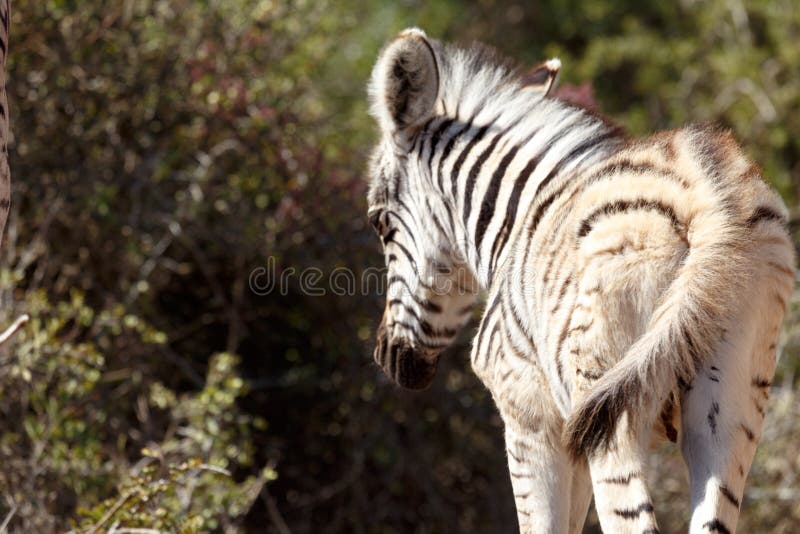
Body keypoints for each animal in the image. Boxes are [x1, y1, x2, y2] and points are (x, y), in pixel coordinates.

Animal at [366, 28, 795, 534]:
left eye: (378, 223)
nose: (388, 358)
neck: (515, 223)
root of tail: (711, 195)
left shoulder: (529, 416)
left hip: (609, 409)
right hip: (730, 409)